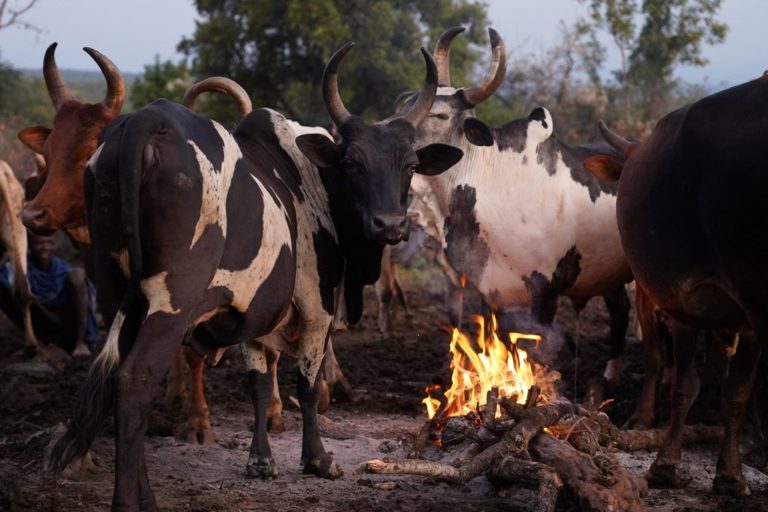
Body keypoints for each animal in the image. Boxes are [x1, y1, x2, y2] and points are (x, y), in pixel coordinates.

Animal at [40, 42, 461, 510]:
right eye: (353, 162)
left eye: (410, 165)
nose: (389, 224)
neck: (314, 179)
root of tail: (146, 121)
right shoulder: (317, 308)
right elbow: (307, 383)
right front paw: (317, 459)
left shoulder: (255, 313)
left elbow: (259, 383)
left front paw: (261, 461)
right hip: (169, 303)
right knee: (134, 381)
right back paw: (134, 501)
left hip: (118, 294)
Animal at [403, 27, 632, 383]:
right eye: (408, 103)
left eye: (439, 114)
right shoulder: (490, 292)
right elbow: (501, 343)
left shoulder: (545, 292)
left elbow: (534, 348)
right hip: (608, 273)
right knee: (620, 308)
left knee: (622, 313)